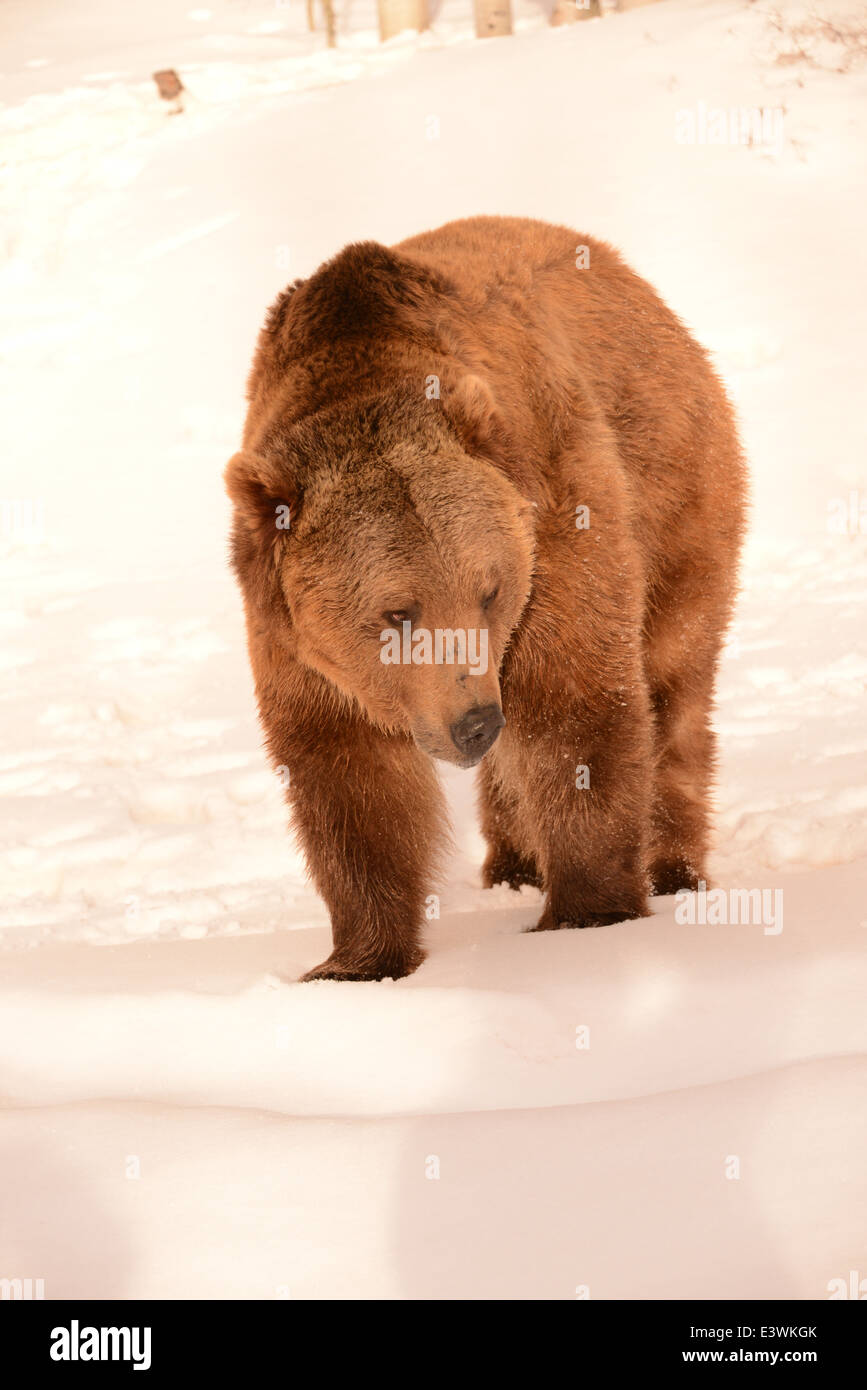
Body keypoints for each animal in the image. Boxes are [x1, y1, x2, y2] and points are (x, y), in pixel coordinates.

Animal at [225, 215, 747, 981]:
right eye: (396, 613)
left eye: (489, 590)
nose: (474, 723)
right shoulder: (293, 633)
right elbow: (349, 776)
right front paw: (356, 961)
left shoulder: (554, 525)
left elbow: (575, 706)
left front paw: (588, 915)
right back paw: (513, 864)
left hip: (676, 485)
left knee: (673, 682)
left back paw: (673, 870)